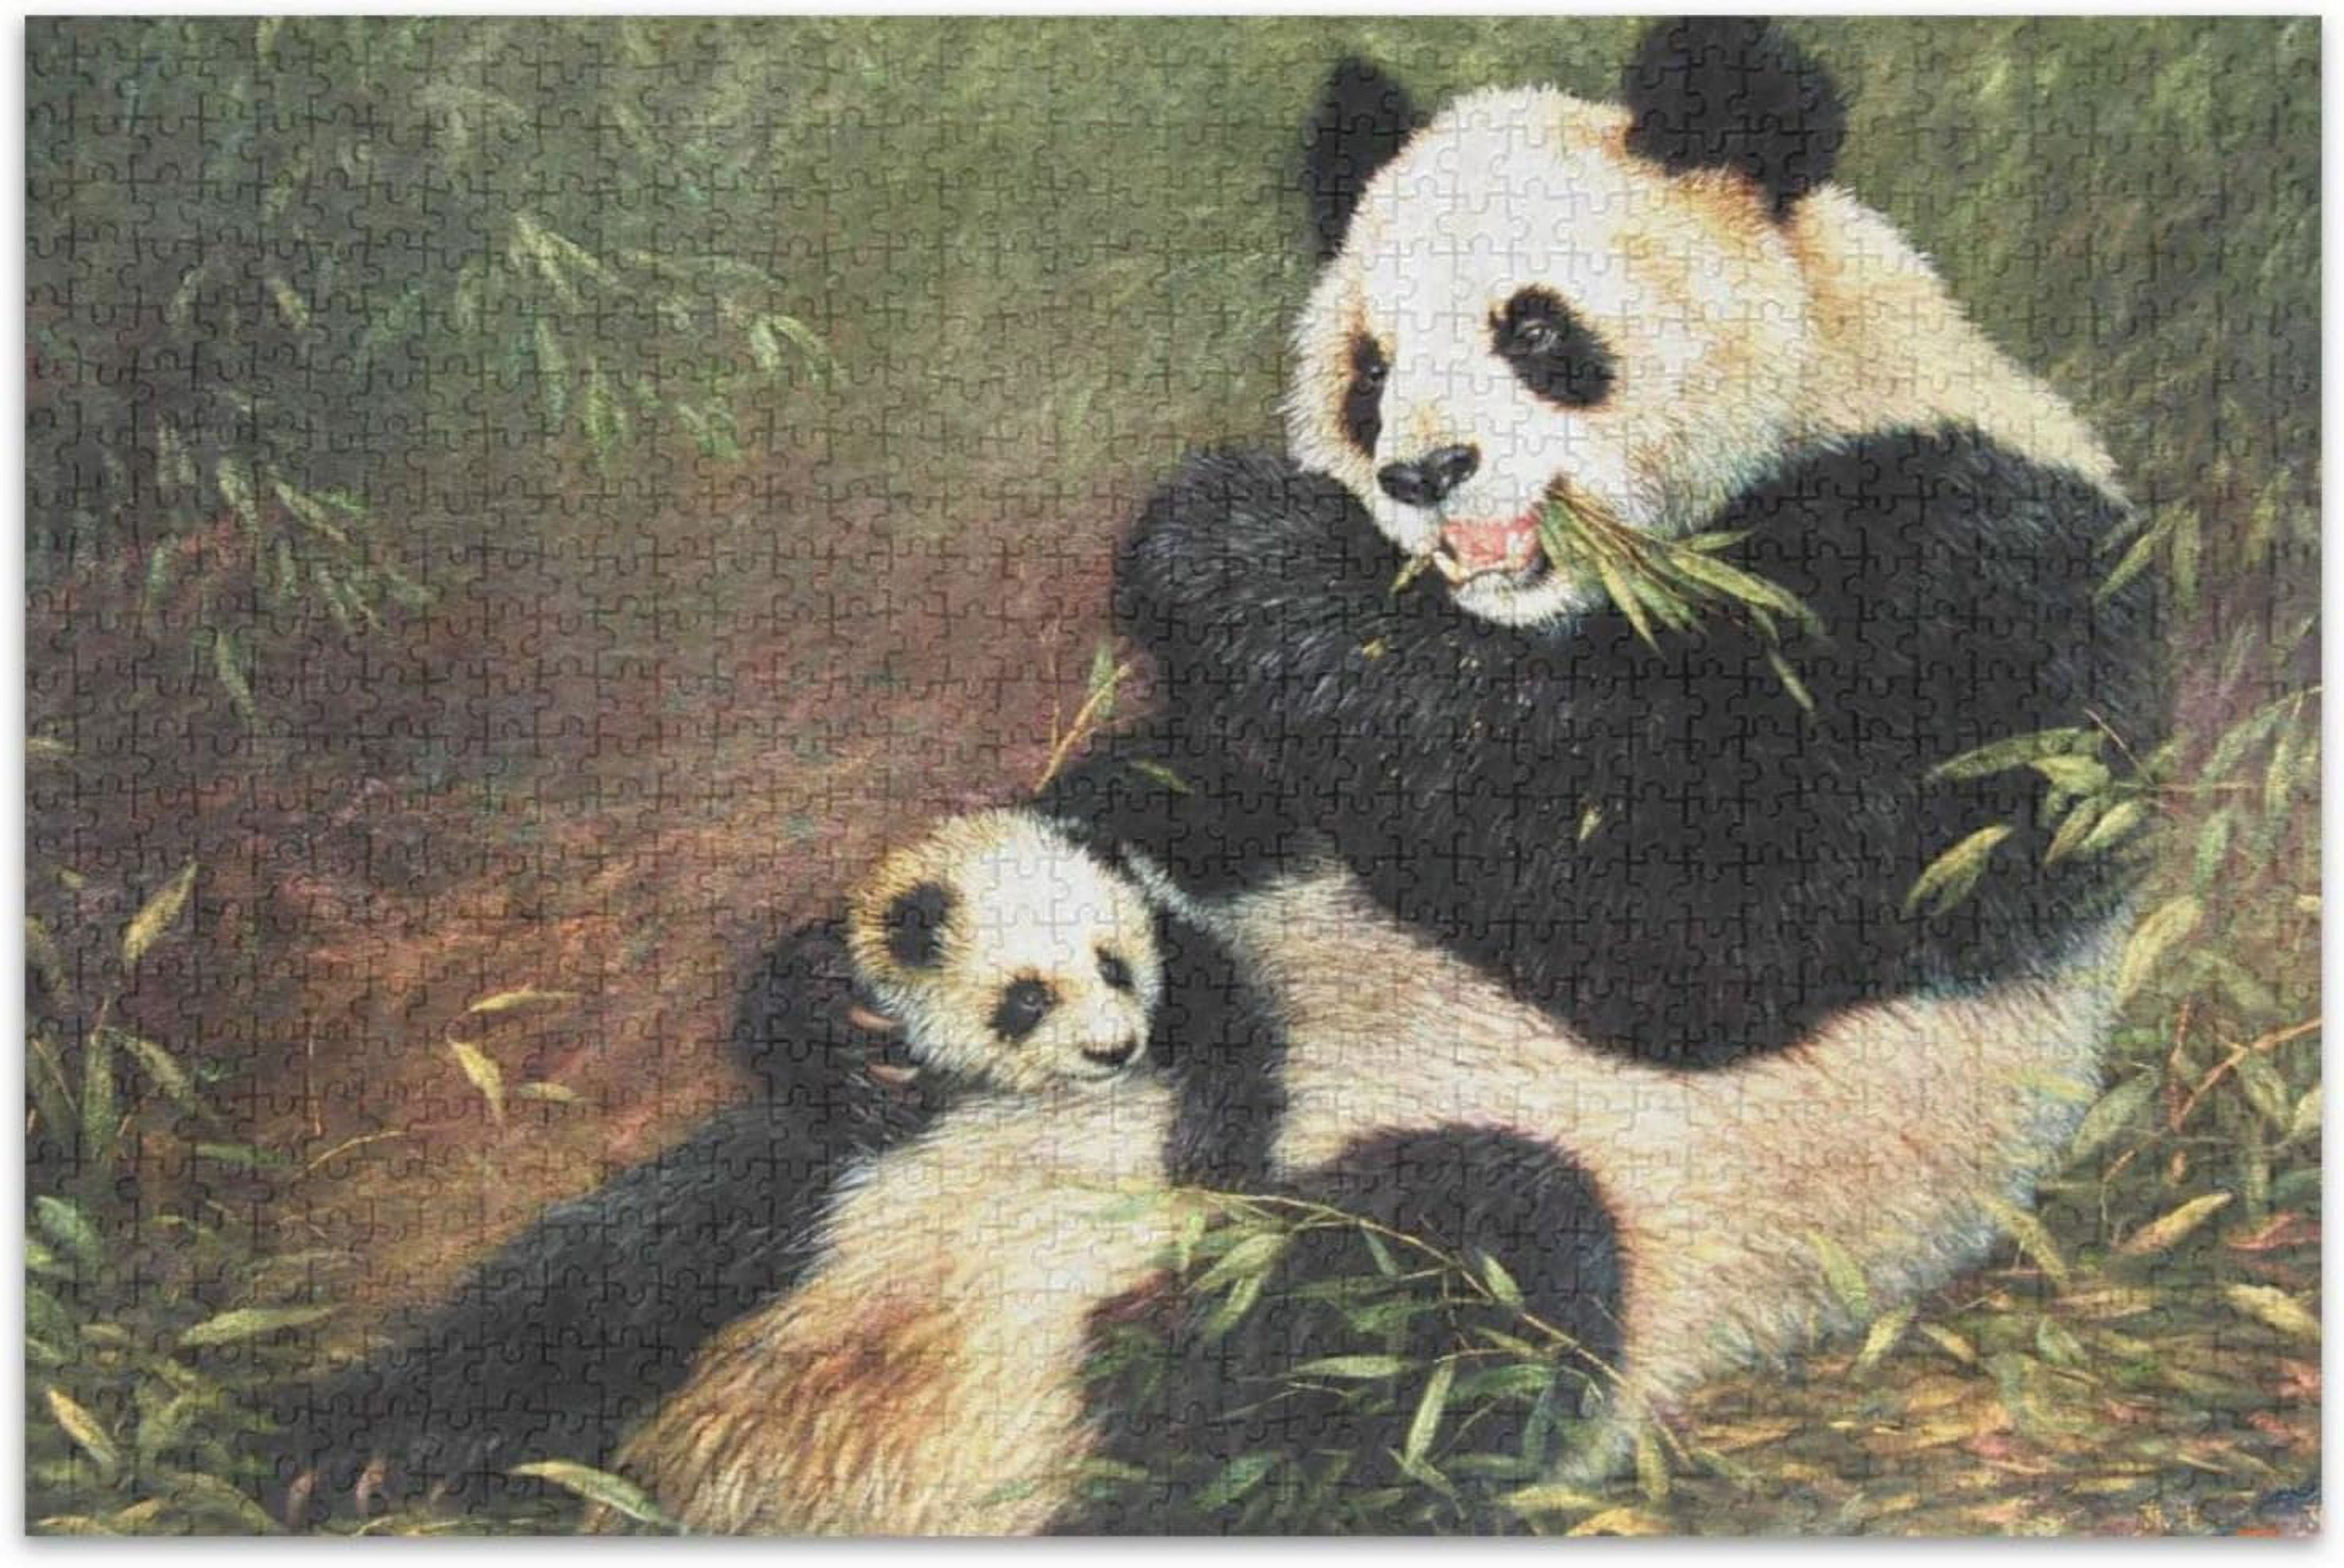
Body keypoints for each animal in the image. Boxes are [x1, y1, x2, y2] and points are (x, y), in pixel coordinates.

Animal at [623, 15, 2163, 1533]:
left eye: (1534, 329)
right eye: (1370, 366)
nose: (1424, 471)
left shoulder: (1969, 572)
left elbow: (1692, 902)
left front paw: (1222, 526)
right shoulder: (1298, 762)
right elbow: (1211, 787)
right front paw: (839, 994)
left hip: (1573, 1200)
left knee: (1418, 1297)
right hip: (842, 1183)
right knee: (651, 1238)